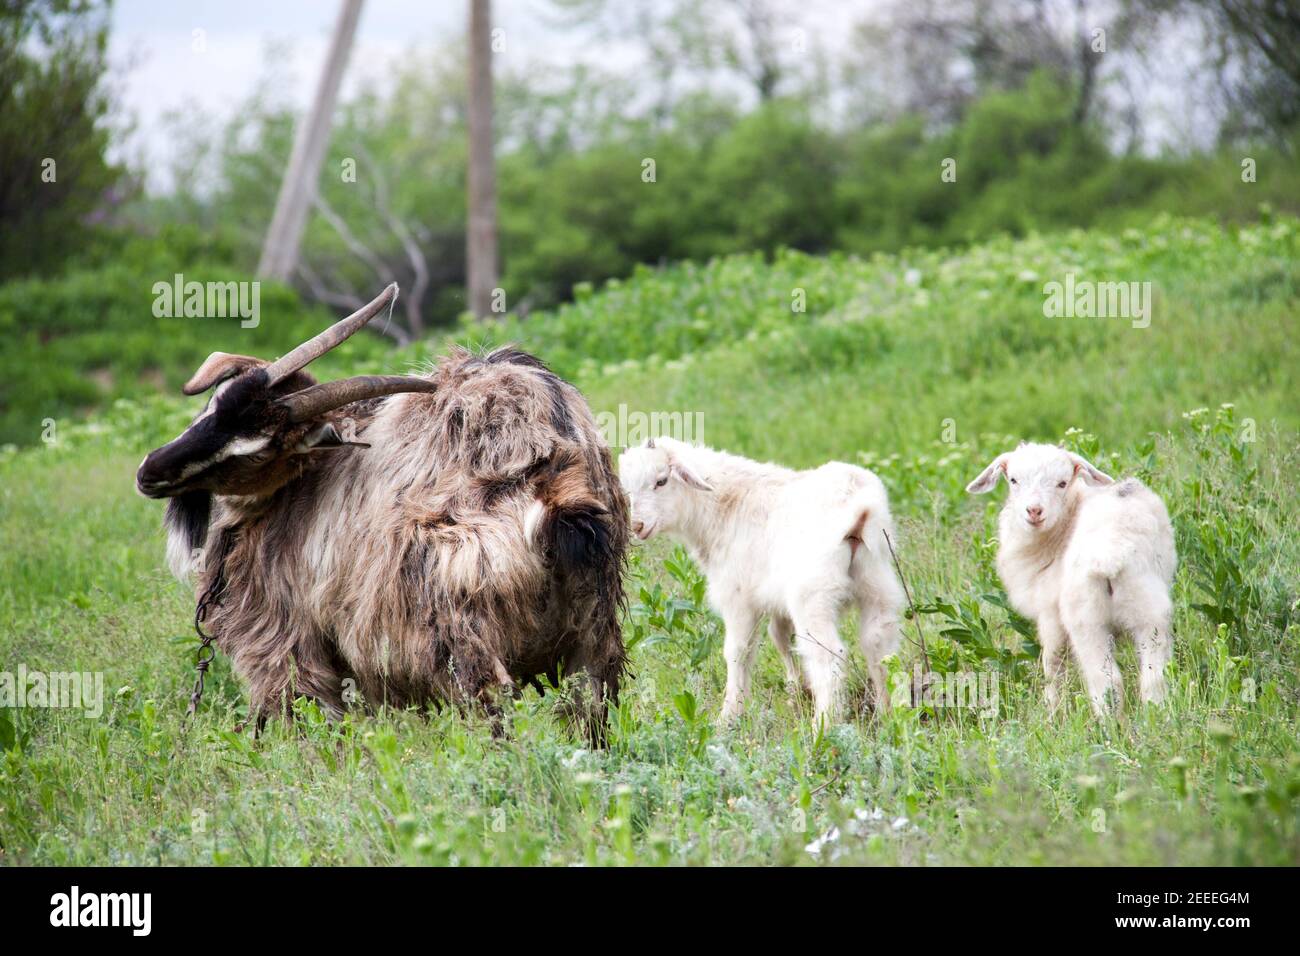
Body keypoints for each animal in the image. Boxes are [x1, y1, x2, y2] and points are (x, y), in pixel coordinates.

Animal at [136, 284, 628, 740]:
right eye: (213, 405)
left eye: (259, 452)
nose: (150, 472)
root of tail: (551, 479)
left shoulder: (284, 640)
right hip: (594, 630)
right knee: (592, 708)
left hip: (460, 629)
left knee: (493, 709)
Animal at [618, 436, 903, 726]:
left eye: (661, 481)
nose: (638, 526)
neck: (726, 506)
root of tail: (859, 510)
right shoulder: (776, 600)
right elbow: (780, 637)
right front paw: (795, 692)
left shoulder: (738, 598)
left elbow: (738, 651)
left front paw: (729, 715)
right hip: (878, 581)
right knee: (878, 643)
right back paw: (889, 714)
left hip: (813, 595)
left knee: (828, 653)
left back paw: (823, 725)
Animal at [966, 442, 1176, 715]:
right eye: (1013, 480)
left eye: (1062, 483)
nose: (1034, 511)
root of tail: (1111, 551)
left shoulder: (1049, 612)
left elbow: (1053, 661)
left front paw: (1053, 711)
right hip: (1148, 608)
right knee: (1154, 678)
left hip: (1086, 619)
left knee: (1106, 681)